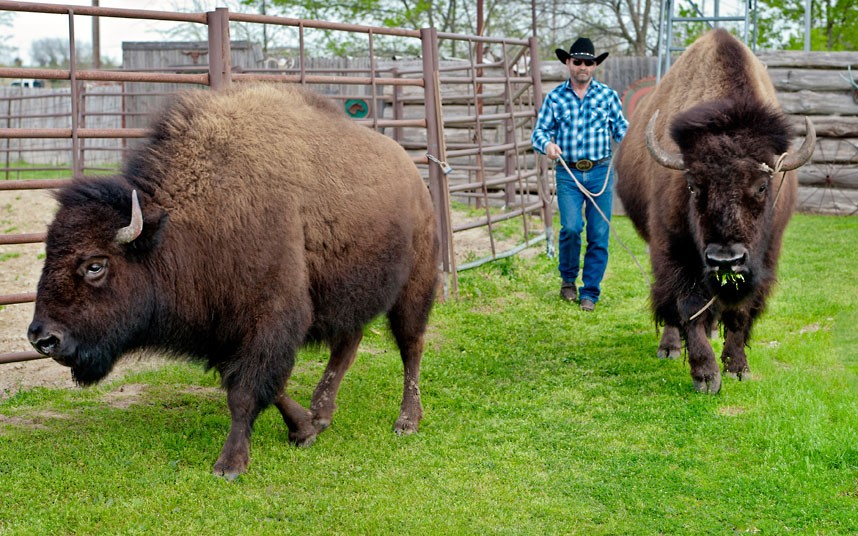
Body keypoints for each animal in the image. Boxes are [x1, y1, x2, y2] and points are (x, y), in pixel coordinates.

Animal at [27, 84, 439, 478]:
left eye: (95, 265)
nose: (42, 338)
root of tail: (413, 175)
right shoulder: (225, 329)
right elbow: (264, 385)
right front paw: (304, 429)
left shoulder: (268, 320)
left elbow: (245, 392)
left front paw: (230, 465)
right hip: (349, 294)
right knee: (348, 345)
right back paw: (322, 412)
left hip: (414, 286)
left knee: (411, 346)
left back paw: (407, 421)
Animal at [614, 29, 815, 393]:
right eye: (693, 185)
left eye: (762, 185)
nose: (725, 260)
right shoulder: (675, 252)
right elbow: (688, 306)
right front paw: (706, 375)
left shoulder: (764, 256)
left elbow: (739, 313)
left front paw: (737, 368)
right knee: (668, 304)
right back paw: (669, 347)